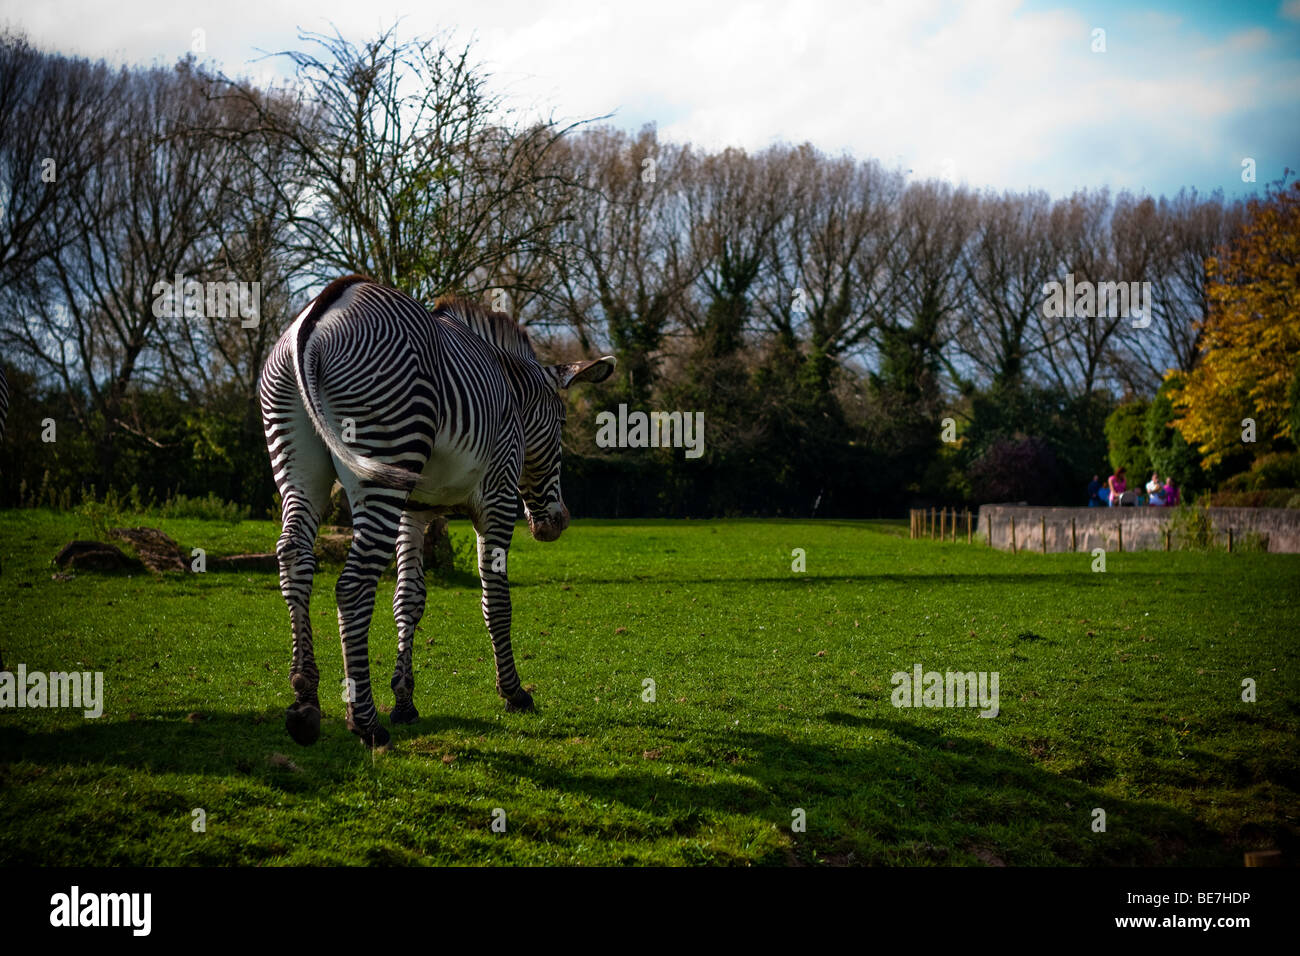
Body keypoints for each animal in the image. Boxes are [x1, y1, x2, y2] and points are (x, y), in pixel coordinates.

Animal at [260, 275, 614, 748]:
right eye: (560, 422)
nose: (557, 523)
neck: (511, 388)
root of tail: (322, 310)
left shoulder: (416, 511)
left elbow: (408, 599)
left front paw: (405, 702)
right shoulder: (499, 497)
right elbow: (497, 601)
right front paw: (514, 693)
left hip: (299, 463)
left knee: (294, 558)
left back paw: (304, 702)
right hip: (383, 456)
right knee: (352, 586)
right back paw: (365, 721)